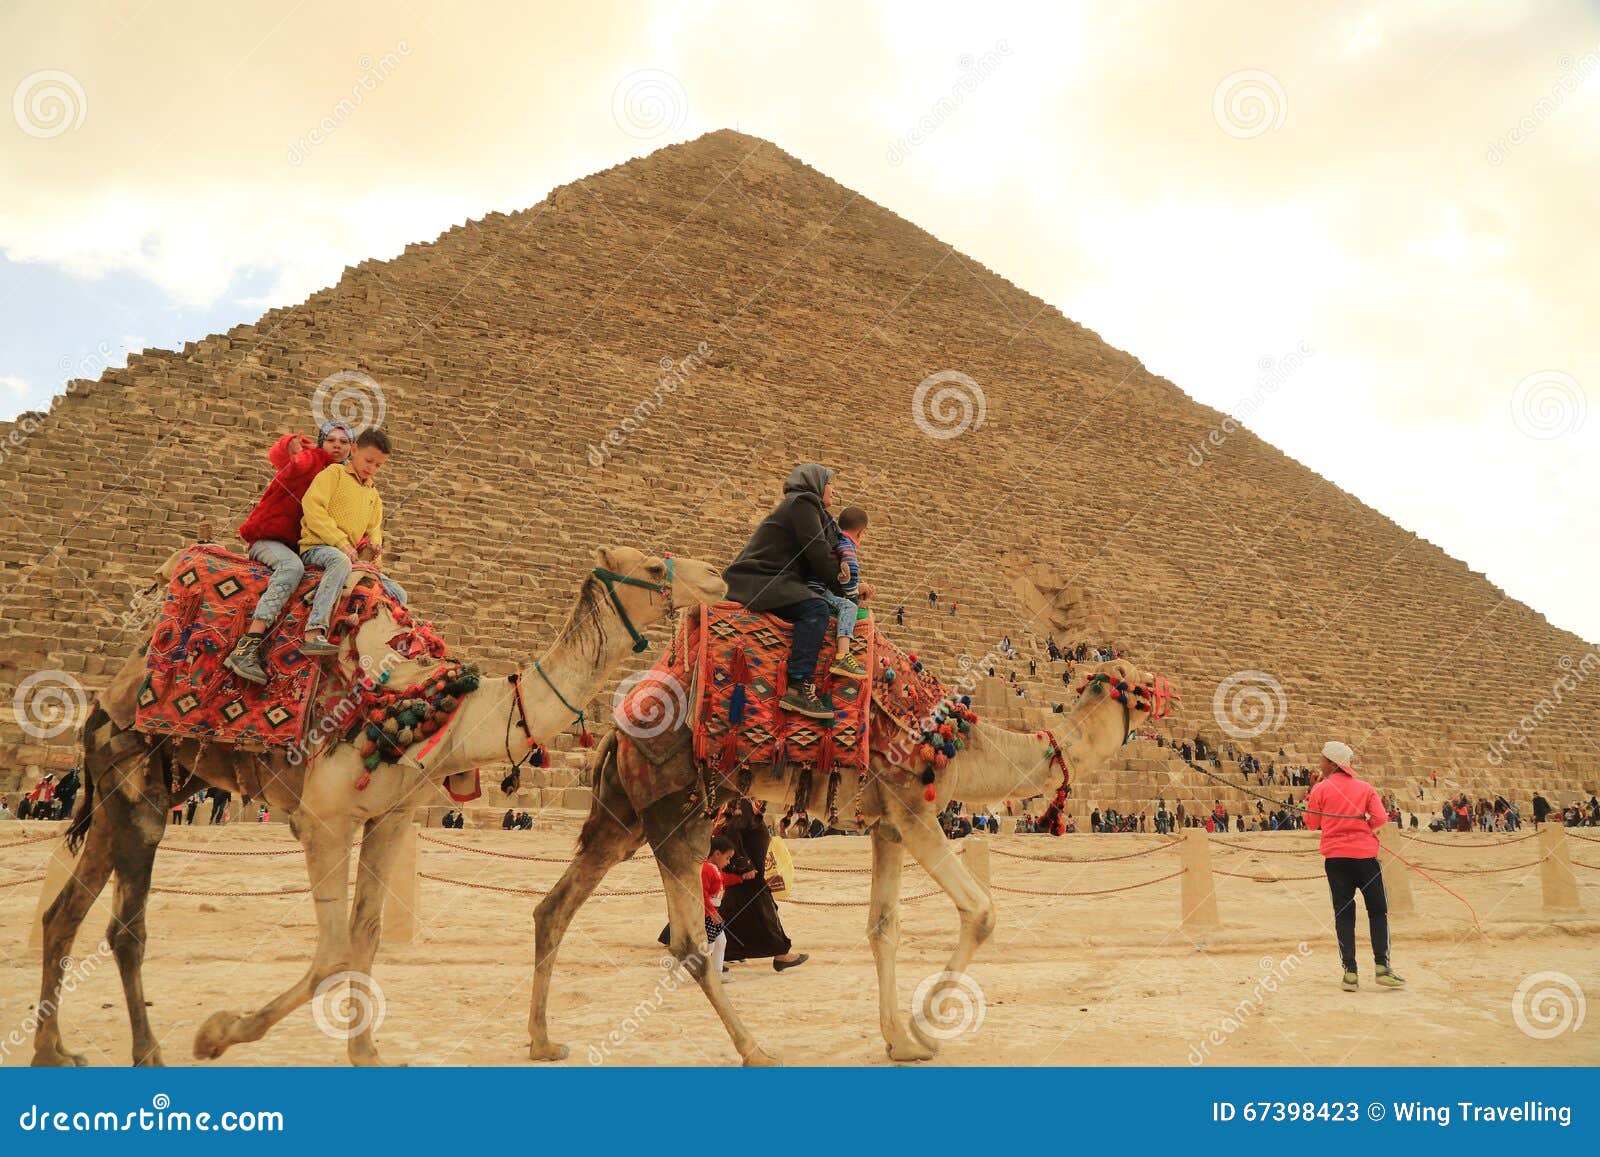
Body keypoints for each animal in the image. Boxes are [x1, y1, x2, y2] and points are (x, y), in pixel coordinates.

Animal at [33, 546, 725, 1068]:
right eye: (655, 565)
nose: (717, 576)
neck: (443, 708)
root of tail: (114, 689)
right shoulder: (324, 820)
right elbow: (334, 949)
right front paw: (217, 1033)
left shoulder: (390, 818)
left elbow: (363, 936)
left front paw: (365, 1053)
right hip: (136, 780)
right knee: (125, 927)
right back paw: (146, 1051)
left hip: (133, 791)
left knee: (64, 913)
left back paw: (54, 1049)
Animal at [527, 653, 1175, 1065]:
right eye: (1139, 686)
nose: (1171, 694)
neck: (962, 743)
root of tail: (616, 729)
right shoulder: (913, 807)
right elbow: (982, 910)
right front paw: (926, 1024)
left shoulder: (887, 826)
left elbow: (883, 927)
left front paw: (900, 1041)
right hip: (678, 813)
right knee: (688, 942)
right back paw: (757, 1051)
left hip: (624, 816)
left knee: (553, 908)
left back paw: (542, 1042)